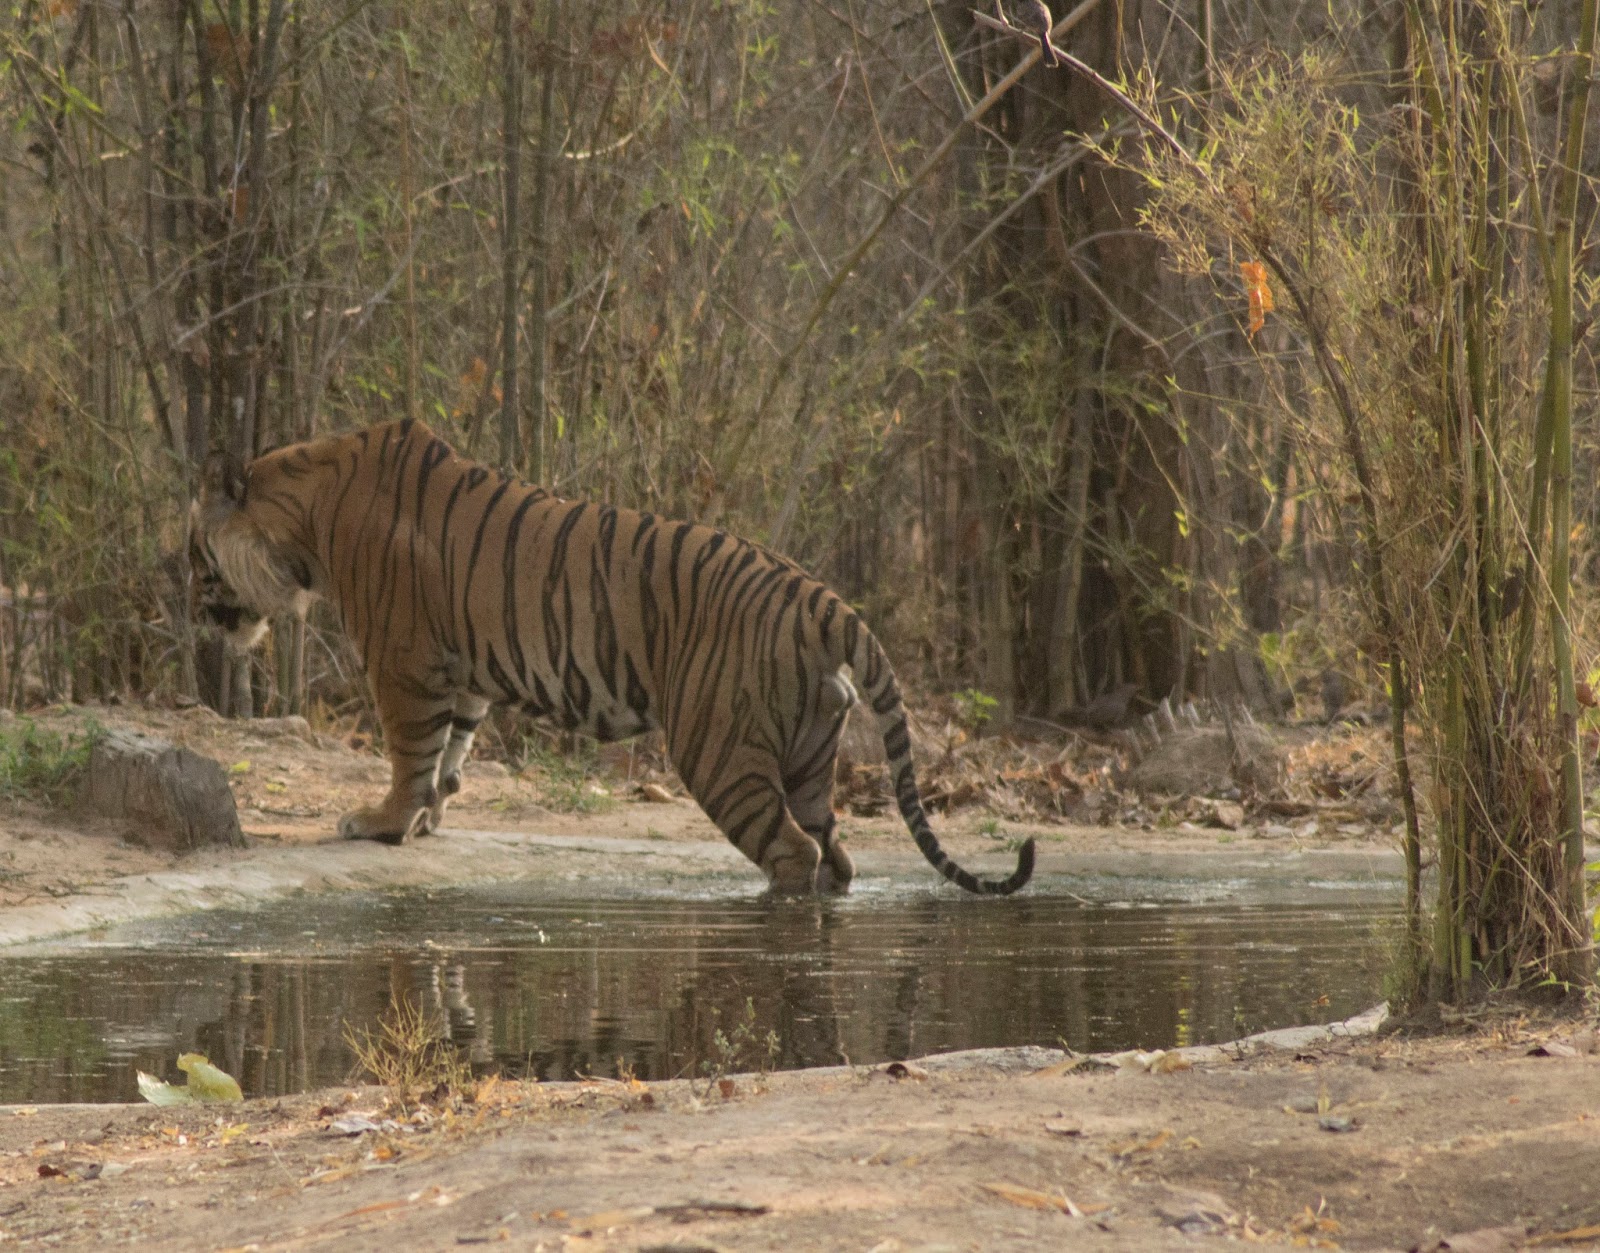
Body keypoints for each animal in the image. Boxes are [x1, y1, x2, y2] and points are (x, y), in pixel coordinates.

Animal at [190, 420, 1034, 897]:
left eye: (195, 549)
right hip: (807, 753)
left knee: (791, 853)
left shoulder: (400, 658)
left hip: (717, 749)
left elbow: (409, 750)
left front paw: (383, 821)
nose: (190, 605)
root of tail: (819, 596)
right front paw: (428, 814)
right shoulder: (461, 669)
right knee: (836, 853)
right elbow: (452, 746)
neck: (305, 517)